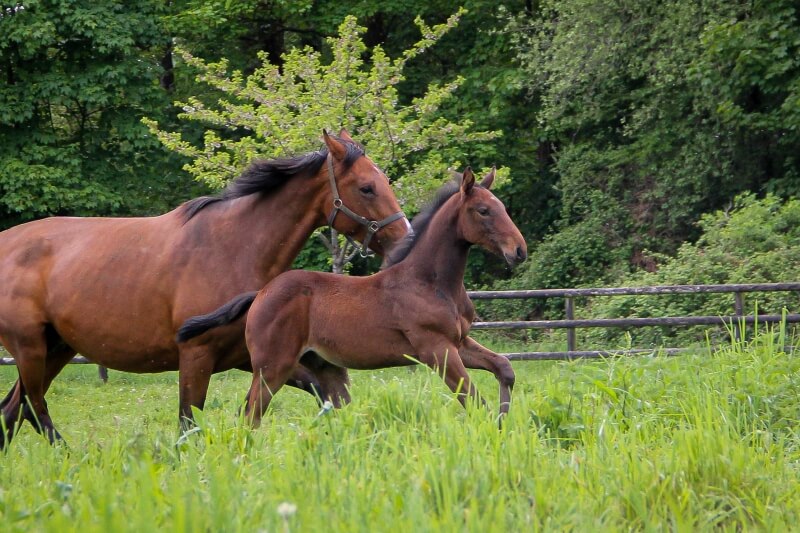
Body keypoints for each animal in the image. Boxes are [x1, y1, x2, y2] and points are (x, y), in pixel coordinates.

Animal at [0, 130, 409, 447]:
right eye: (367, 187)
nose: (406, 240)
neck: (233, 246)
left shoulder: (252, 357)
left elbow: (319, 391)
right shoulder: (196, 356)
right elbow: (188, 424)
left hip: (56, 349)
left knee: (13, 410)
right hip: (30, 349)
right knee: (34, 409)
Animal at [176, 167, 527, 426]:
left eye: (502, 208)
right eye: (483, 211)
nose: (519, 251)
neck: (430, 281)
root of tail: (261, 293)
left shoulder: (459, 342)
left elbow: (504, 368)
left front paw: (505, 424)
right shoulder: (436, 349)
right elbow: (475, 401)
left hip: (325, 367)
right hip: (272, 367)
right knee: (250, 415)